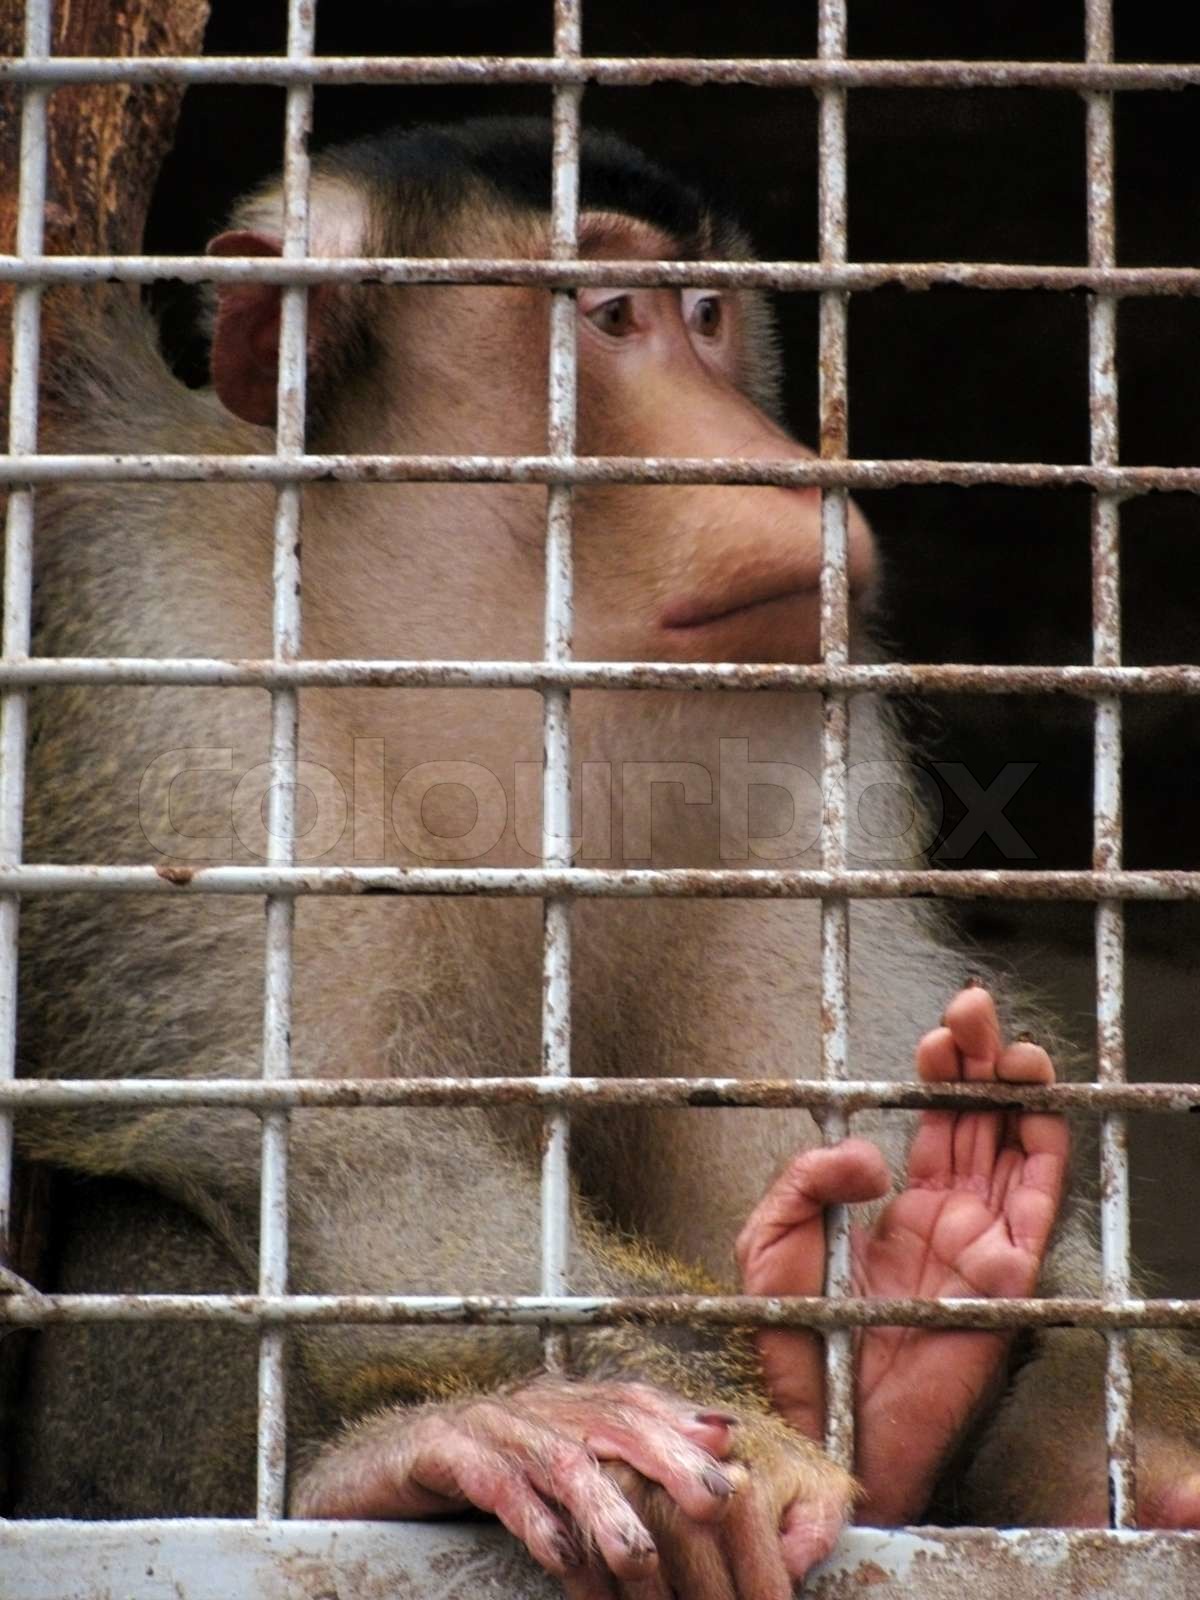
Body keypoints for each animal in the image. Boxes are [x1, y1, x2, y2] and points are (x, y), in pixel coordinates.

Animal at [8, 117, 1200, 1595]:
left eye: (707, 316)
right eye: (613, 314)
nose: (762, 454)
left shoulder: (784, 753)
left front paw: (961, 1352)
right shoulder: (168, 657)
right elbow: (346, 1152)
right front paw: (624, 1418)